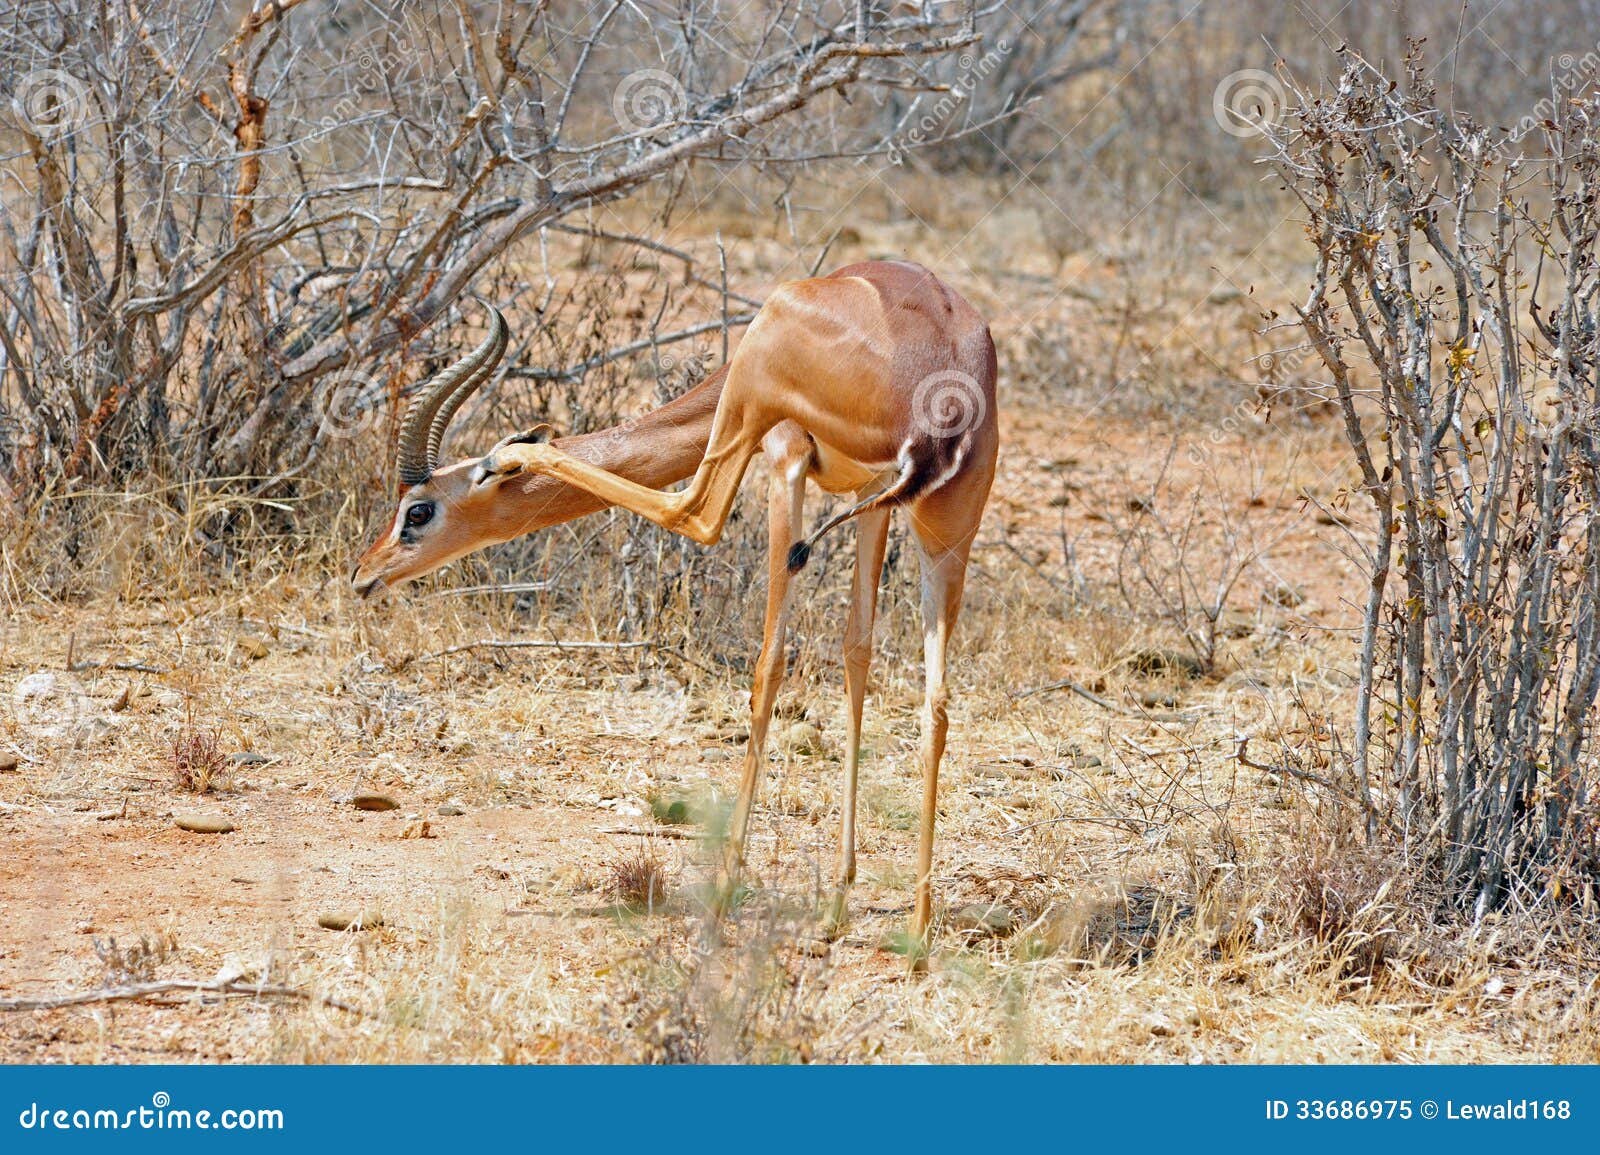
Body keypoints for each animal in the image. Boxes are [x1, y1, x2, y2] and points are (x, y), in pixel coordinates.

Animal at [352, 260, 997, 964]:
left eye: (418, 510)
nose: (363, 574)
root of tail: (942, 411)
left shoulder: (785, 452)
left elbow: (779, 656)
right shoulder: (871, 498)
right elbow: (858, 653)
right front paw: (838, 899)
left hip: (769, 447)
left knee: (708, 543)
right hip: (946, 536)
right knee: (937, 702)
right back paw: (918, 929)